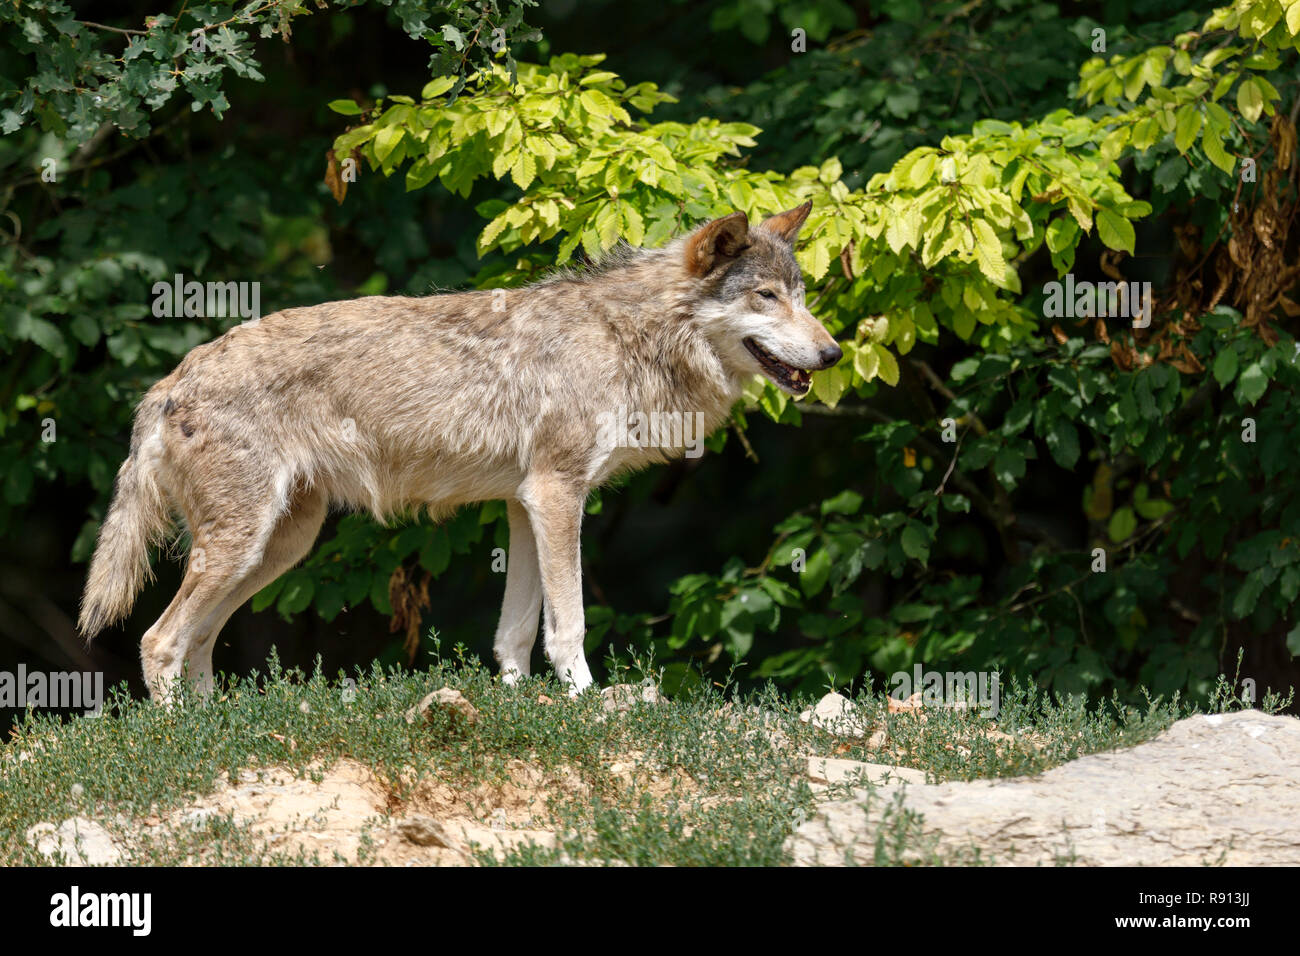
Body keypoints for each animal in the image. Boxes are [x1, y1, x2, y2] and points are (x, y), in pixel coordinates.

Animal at [78, 202, 841, 699]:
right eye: (766, 297)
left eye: (802, 295)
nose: (833, 352)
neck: (630, 335)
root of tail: (169, 383)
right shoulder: (557, 495)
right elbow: (568, 626)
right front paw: (586, 706)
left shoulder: (525, 504)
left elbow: (516, 631)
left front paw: (519, 706)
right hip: (245, 545)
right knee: (158, 641)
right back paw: (183, 742)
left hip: (278, 546)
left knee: (197, 644)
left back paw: (217, 732)